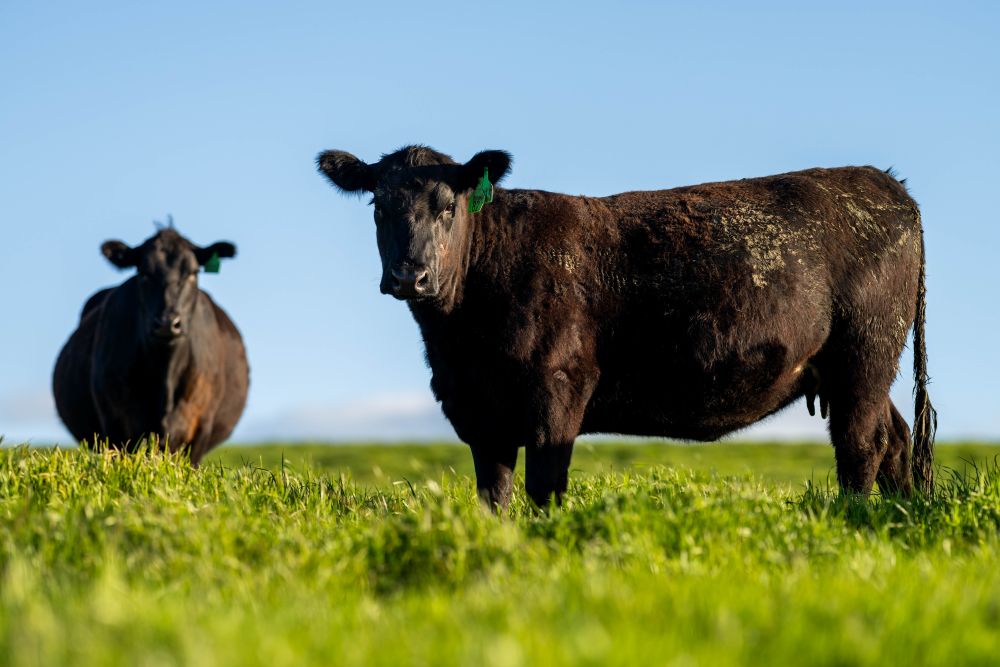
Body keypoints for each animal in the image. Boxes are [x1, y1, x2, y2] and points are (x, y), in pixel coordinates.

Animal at [317, 145, 936, 508]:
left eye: (449, 206)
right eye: (378, 206)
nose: (410, 274)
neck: (460, 343)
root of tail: (887, 183)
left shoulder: (556, 389)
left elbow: (545, 485)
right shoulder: (478, 410)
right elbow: (494, 496)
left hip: (864, 356)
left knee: (862, 446)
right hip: (853, 372)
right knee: (898, 439)